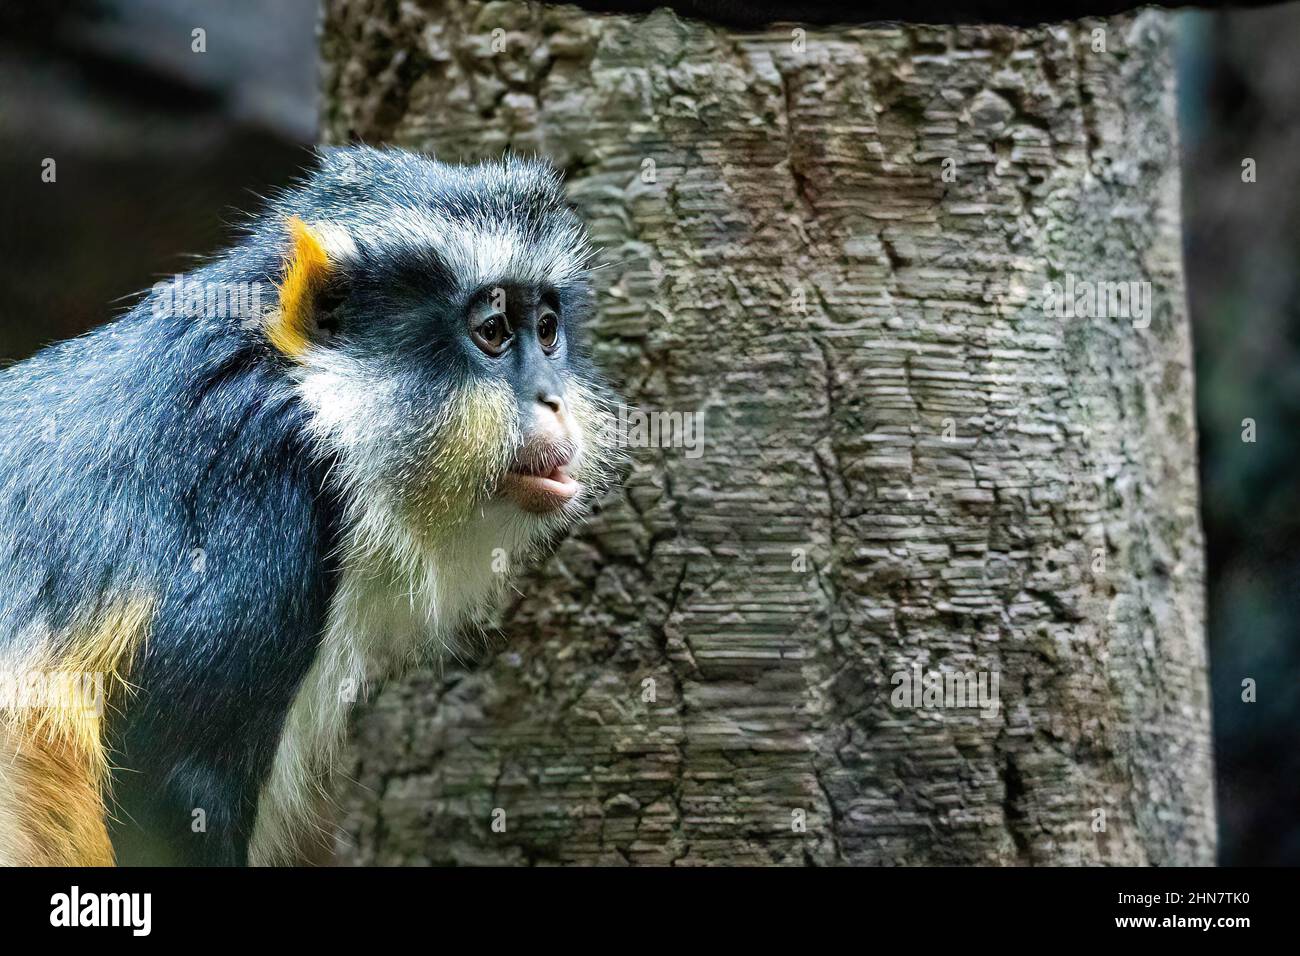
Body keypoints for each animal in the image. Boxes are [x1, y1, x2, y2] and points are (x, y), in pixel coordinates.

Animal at [0, 145, 621, 866]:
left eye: (547, 332)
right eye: (492, 330)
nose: (553, 398)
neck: (305, 391)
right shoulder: (267, 490)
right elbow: (175, 784)